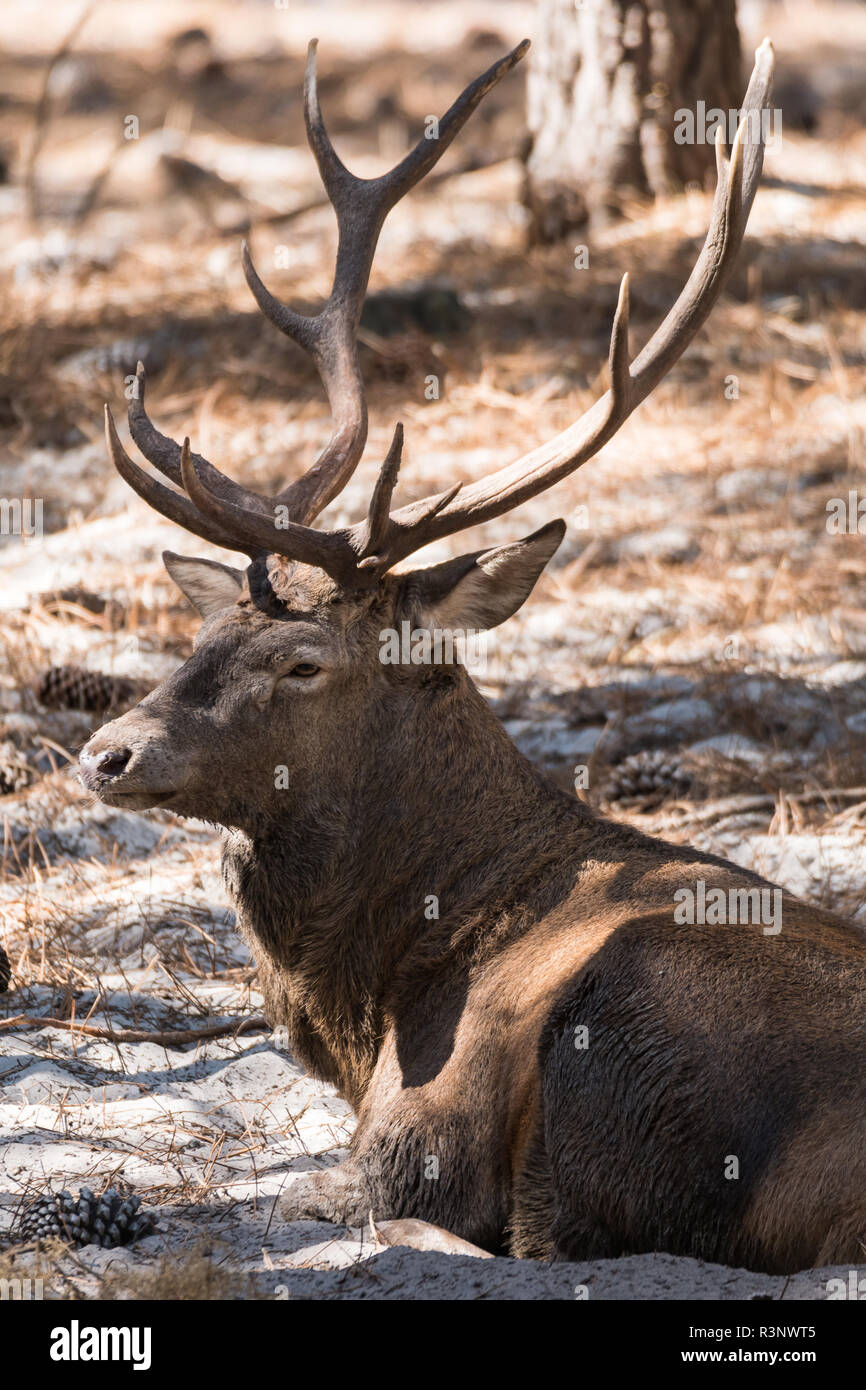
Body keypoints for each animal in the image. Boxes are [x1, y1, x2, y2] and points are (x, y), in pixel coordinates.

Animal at [78, 38, 866, 1275]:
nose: (107, 752)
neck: (369, 998)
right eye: (201, 632)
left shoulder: (421, 1123)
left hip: (634, 1018)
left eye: (303, 661)